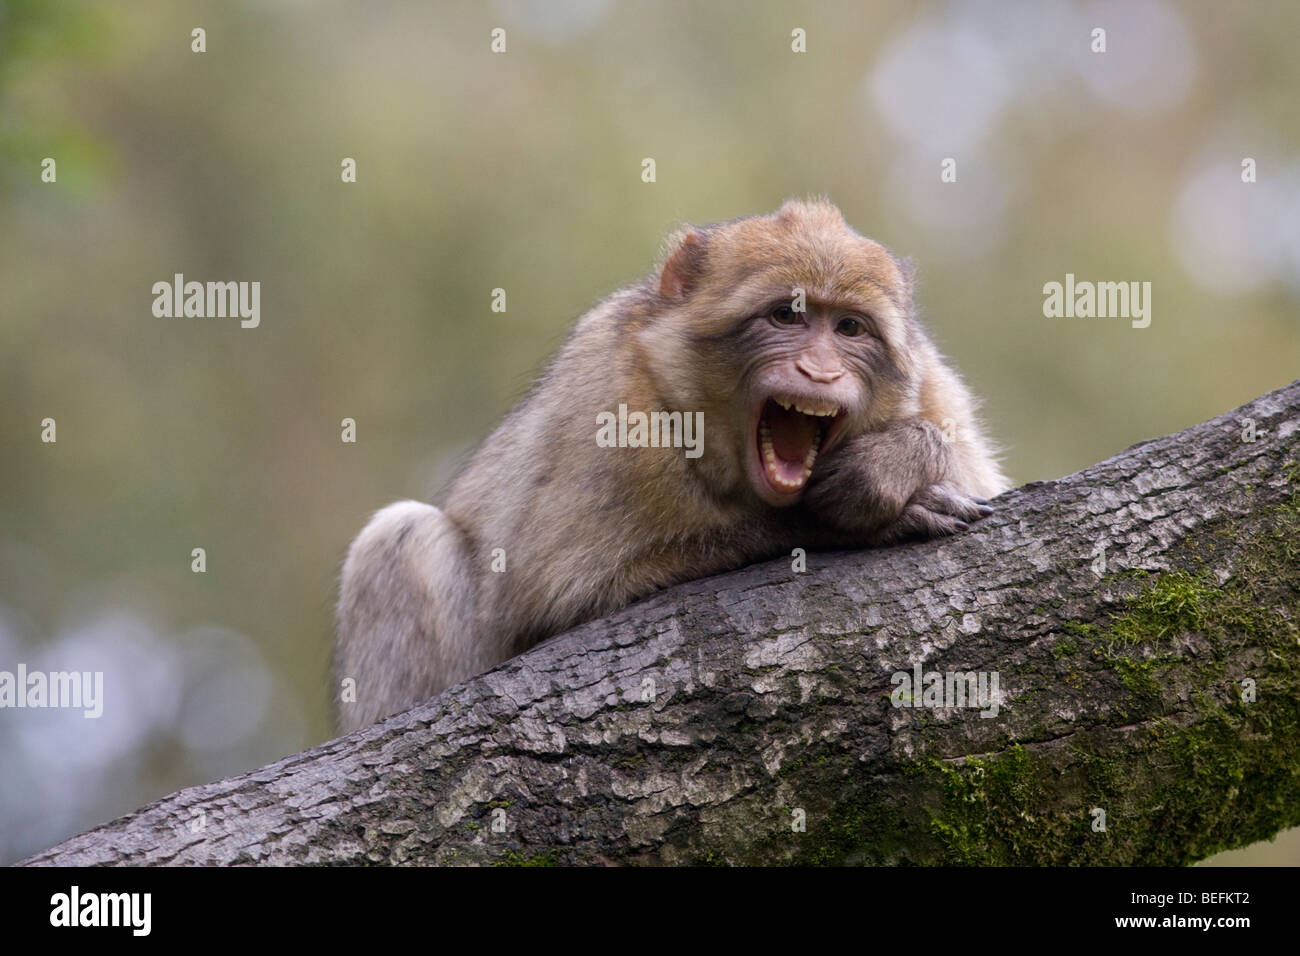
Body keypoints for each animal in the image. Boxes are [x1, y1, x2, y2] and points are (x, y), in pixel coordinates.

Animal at [335, 198, 1010, 732]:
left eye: (849, 328)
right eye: (786, 315)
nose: (820, 372)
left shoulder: (936, 390)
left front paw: (899, 463)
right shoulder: (608, 406)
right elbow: (558, 603)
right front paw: (853, 520)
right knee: (400, 538)